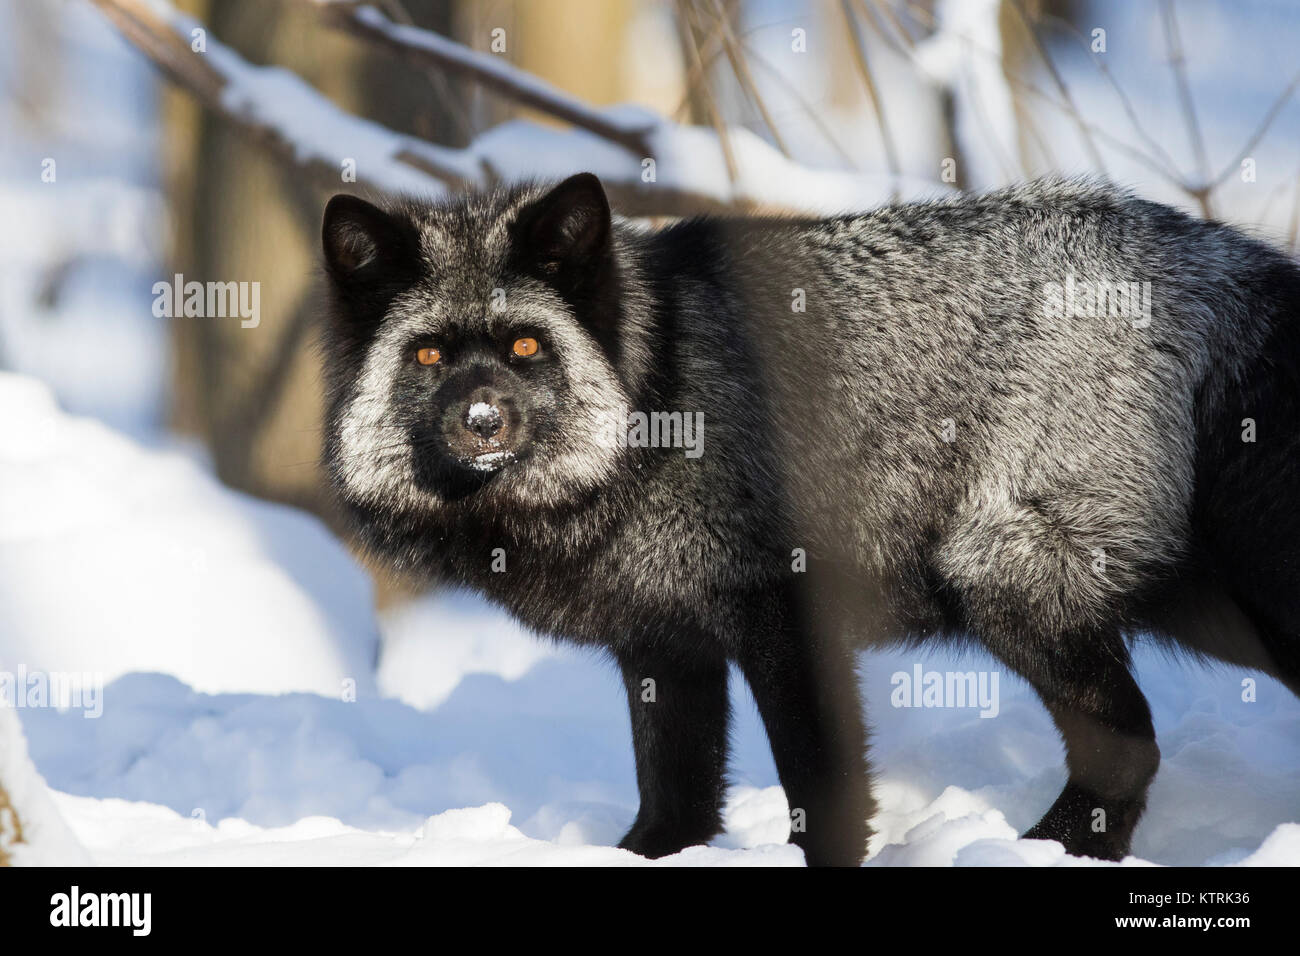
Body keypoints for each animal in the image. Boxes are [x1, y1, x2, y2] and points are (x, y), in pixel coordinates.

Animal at [320, 173, 1300, 866]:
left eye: (526, 345)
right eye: (428, 355)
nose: (483, 420)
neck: (656, 398)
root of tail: (1215, 261)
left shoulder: (786, 614)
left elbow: (820, 787)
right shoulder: (662, 641)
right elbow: (675, 793)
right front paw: (647, 859)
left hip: (1005, 576)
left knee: (1128, 749)